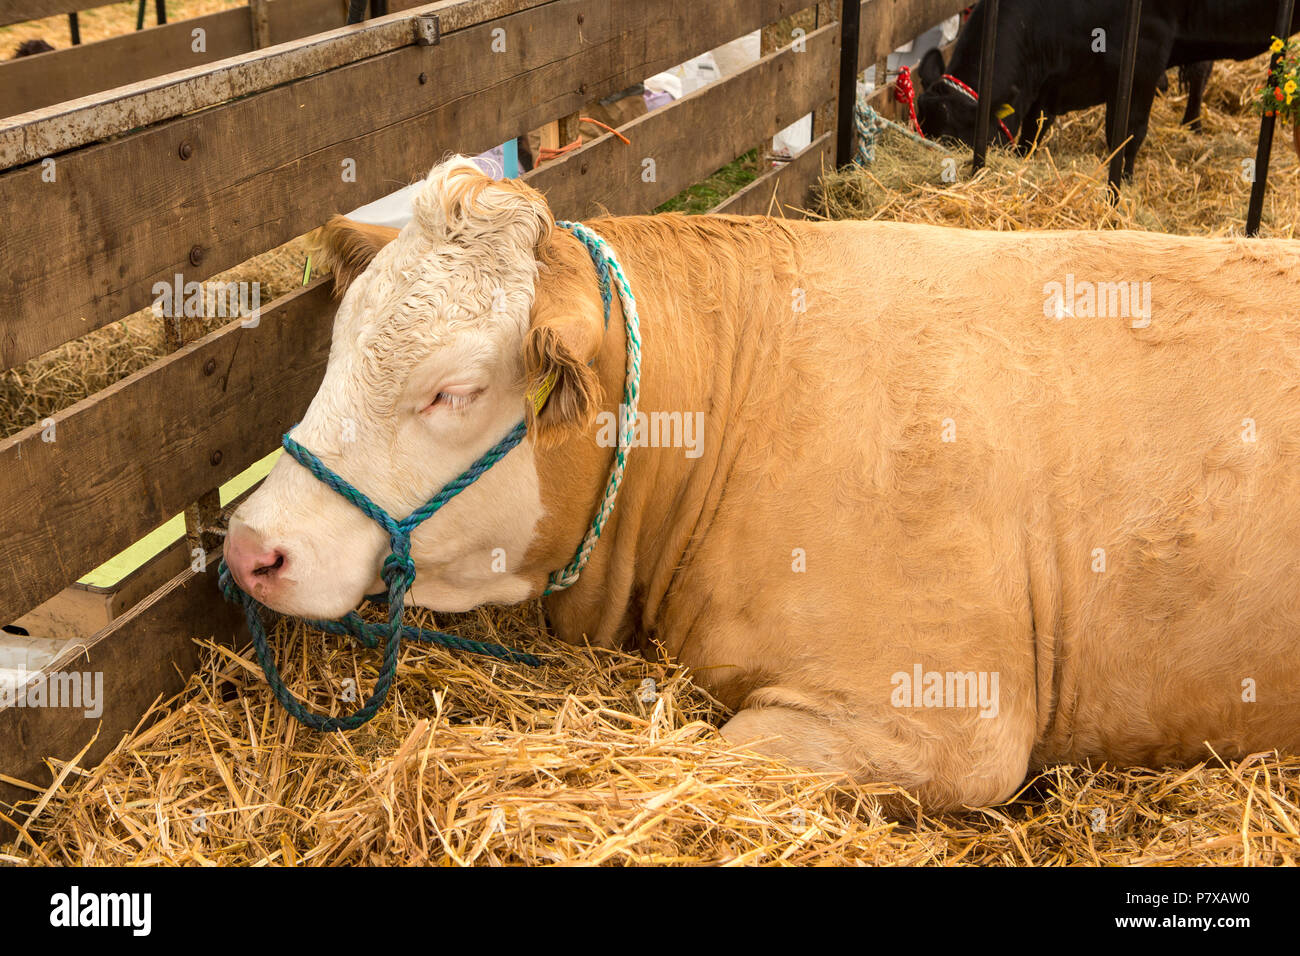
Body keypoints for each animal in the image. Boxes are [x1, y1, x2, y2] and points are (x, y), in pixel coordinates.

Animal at [916, 0, 1295, 176]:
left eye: (963, 145)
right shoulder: (1047, 84)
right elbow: (1032, 132)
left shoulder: (1146, 53)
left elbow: (1126, 133)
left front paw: (1122, 184)